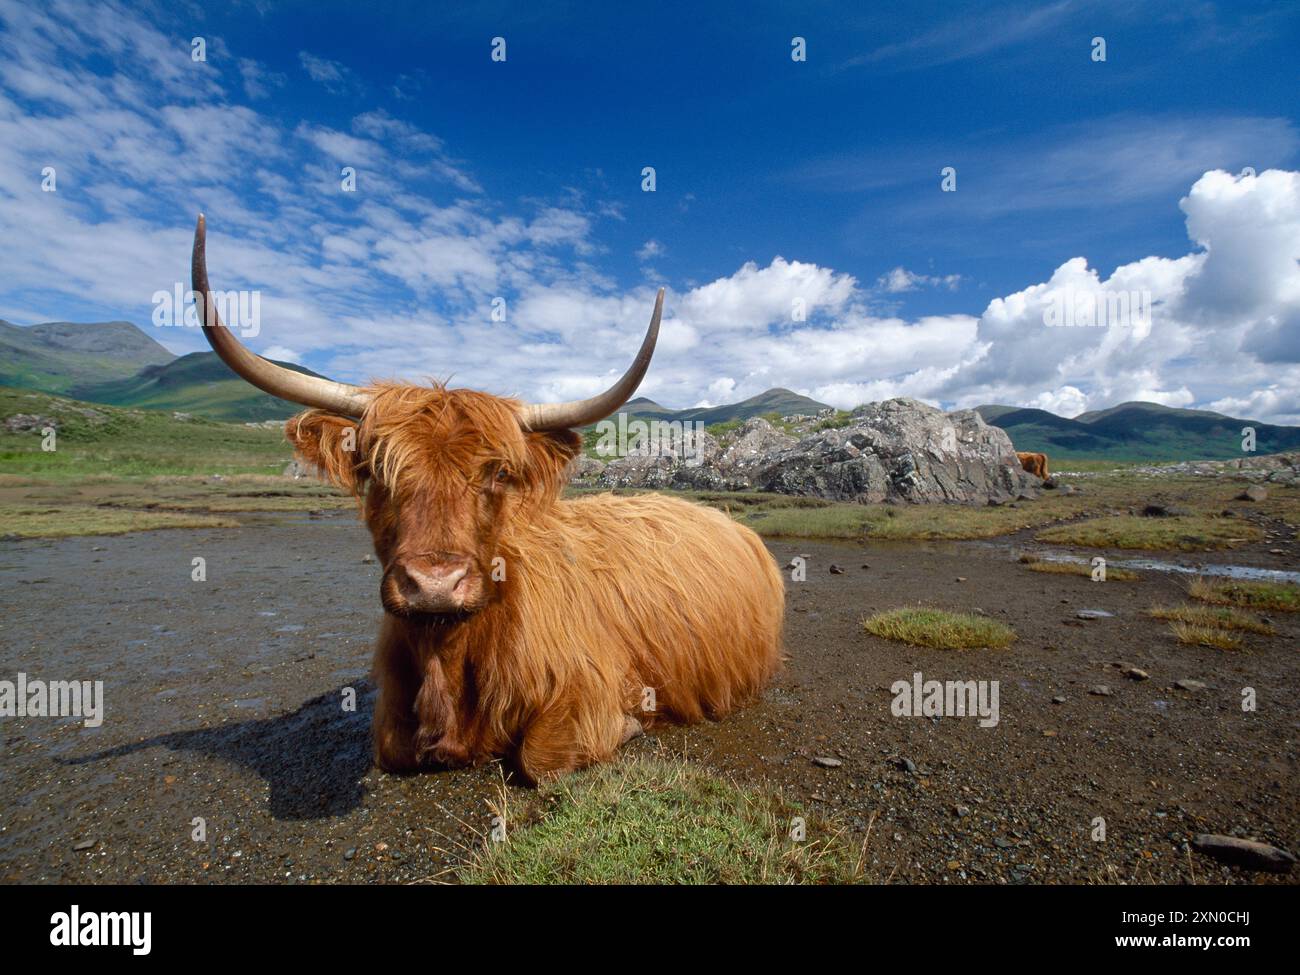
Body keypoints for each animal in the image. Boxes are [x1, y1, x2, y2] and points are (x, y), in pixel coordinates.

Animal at [191, 216, 785, 783]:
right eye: (377, 470)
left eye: (498, 472)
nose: (435, 584)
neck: (448, 659)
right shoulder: (393, 720)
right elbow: (392, 748)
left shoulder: (585, 684)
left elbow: (542, 757)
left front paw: (633, 723)